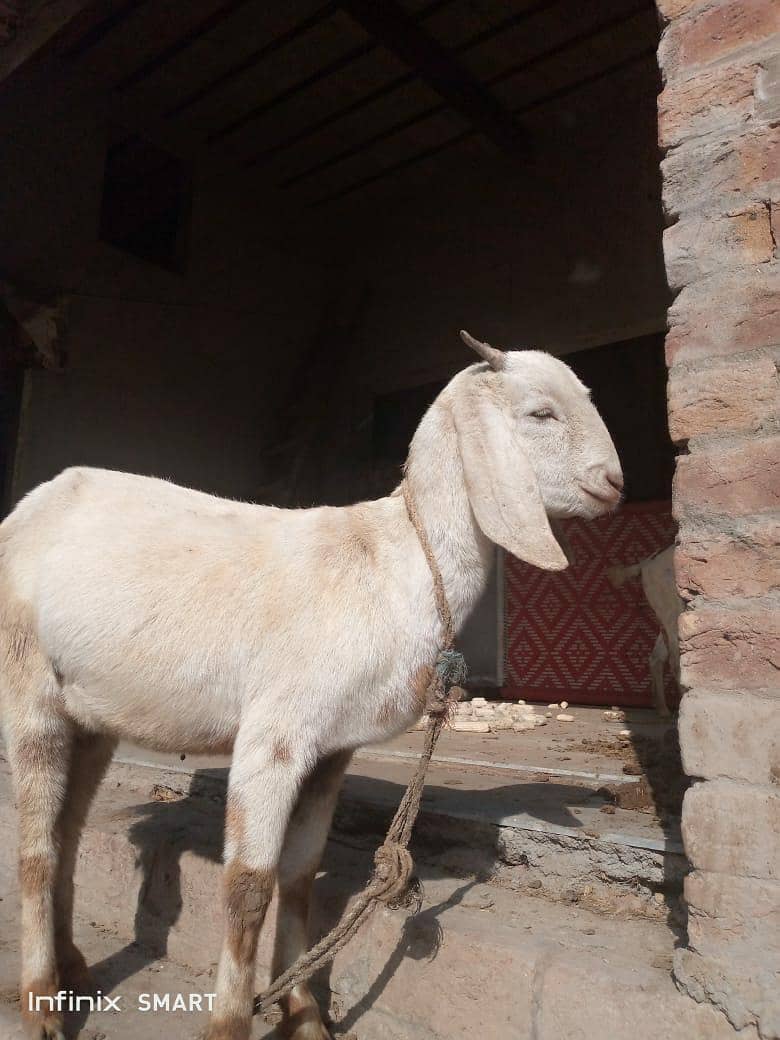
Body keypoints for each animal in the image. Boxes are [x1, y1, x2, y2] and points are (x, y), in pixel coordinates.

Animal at [0, 332, 622, 1040]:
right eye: (540, 413)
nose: (615, 484)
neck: (396, 559)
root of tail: (37, 502)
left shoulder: (331, 750)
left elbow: (299, 880)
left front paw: (301, 1012)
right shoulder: (274, 737)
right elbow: (248, 889)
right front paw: (230, 1022)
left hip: (92, 716)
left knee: (69, 832)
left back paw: (74, 968)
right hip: (27, 683)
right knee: (35, 848)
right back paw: (41, 1002)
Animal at [607, 546, 681, 717]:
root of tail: (646, 564)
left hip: (663, 613)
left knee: (656, 657)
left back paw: (663, 709)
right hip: (674, 612)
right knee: (675, 660)